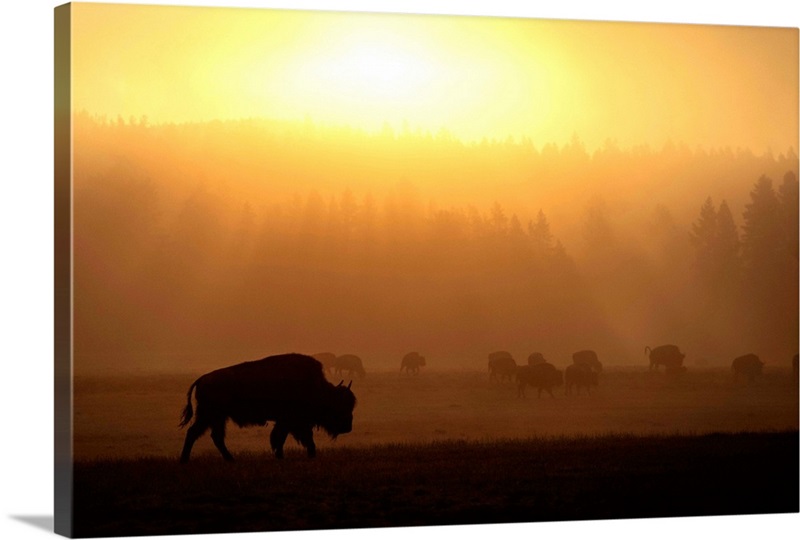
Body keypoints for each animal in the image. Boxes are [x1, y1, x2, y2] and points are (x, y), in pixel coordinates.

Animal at [178, 353, 356, 462]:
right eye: (340, 405)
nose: (348, 427)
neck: (317, 387)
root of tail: (202, 379)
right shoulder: (291, 421)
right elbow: (290, 437)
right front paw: (307, 454)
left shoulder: (286, 422)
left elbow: (282, 437)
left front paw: (282, 455)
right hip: (210, 415)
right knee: (197, 433)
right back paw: (185, 460)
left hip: (216, 417)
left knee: (213, 436)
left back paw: (228, 459)